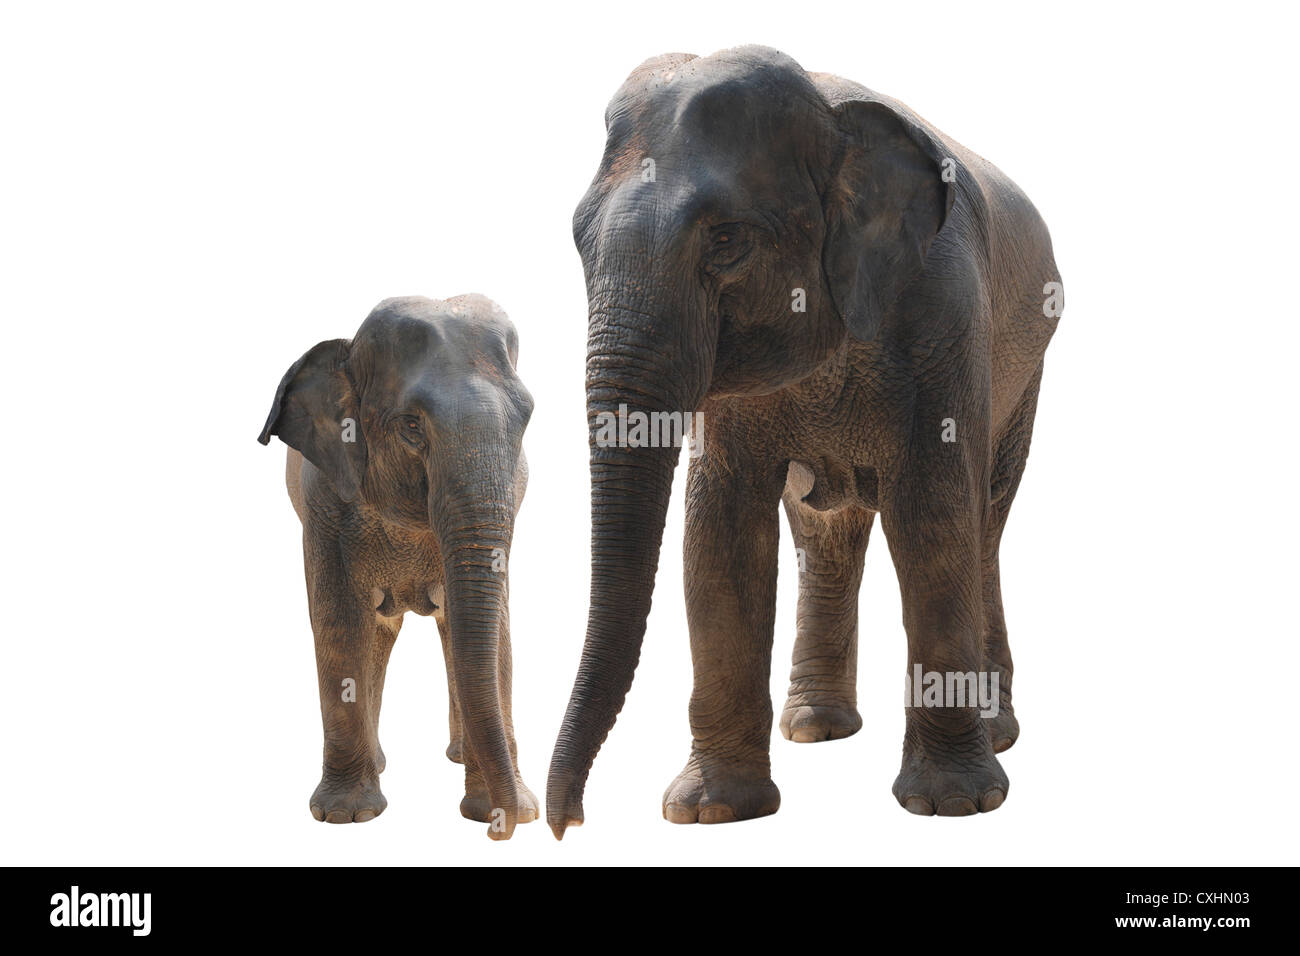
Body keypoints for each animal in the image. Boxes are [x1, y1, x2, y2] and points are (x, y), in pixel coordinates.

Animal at [258, 294, 536, 840]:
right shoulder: (323, 503)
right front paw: (345, 816)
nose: (503, 827)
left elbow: (495, 634)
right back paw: (380, 766)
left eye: (526, 420)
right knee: (376, 632)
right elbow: (339, 623)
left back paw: (454, 757)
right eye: (411, 425)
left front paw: (501, 809)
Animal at [547, 46, 1062, 837]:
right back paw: (817, 728)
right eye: (578, 239)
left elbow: (935, 517)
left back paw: (996, 733)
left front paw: (953, 805)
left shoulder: (942, 312)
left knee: (983, 526)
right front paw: (710, 811)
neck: (831, 118)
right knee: (827, 530)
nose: (563, 820)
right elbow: (719, 536)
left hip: (1026, 370)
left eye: (726, 240)